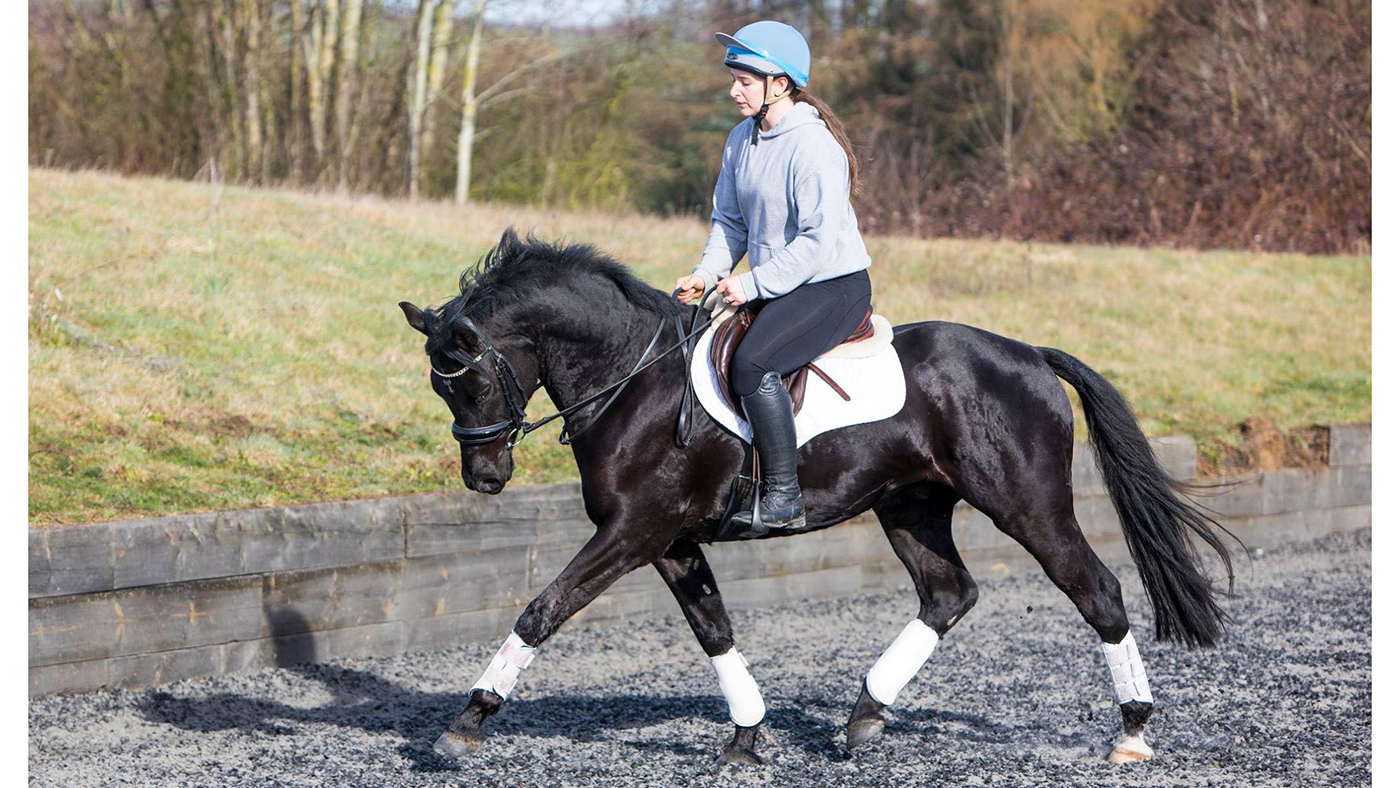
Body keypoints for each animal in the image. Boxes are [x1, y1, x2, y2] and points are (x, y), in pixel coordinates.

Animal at [397, 228, 1236, 767]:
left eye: (469, 378)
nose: (484, 478)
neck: (632, 378)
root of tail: (1028, 353)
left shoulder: (634, 532)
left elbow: (542, 610)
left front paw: (466, 722)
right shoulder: (670, 540)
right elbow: (714, 631)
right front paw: (746, 738)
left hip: (1027, 506)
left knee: (1095, 591)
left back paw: (1132, 732)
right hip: (909, 507)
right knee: (948, 593)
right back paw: (863, 717)